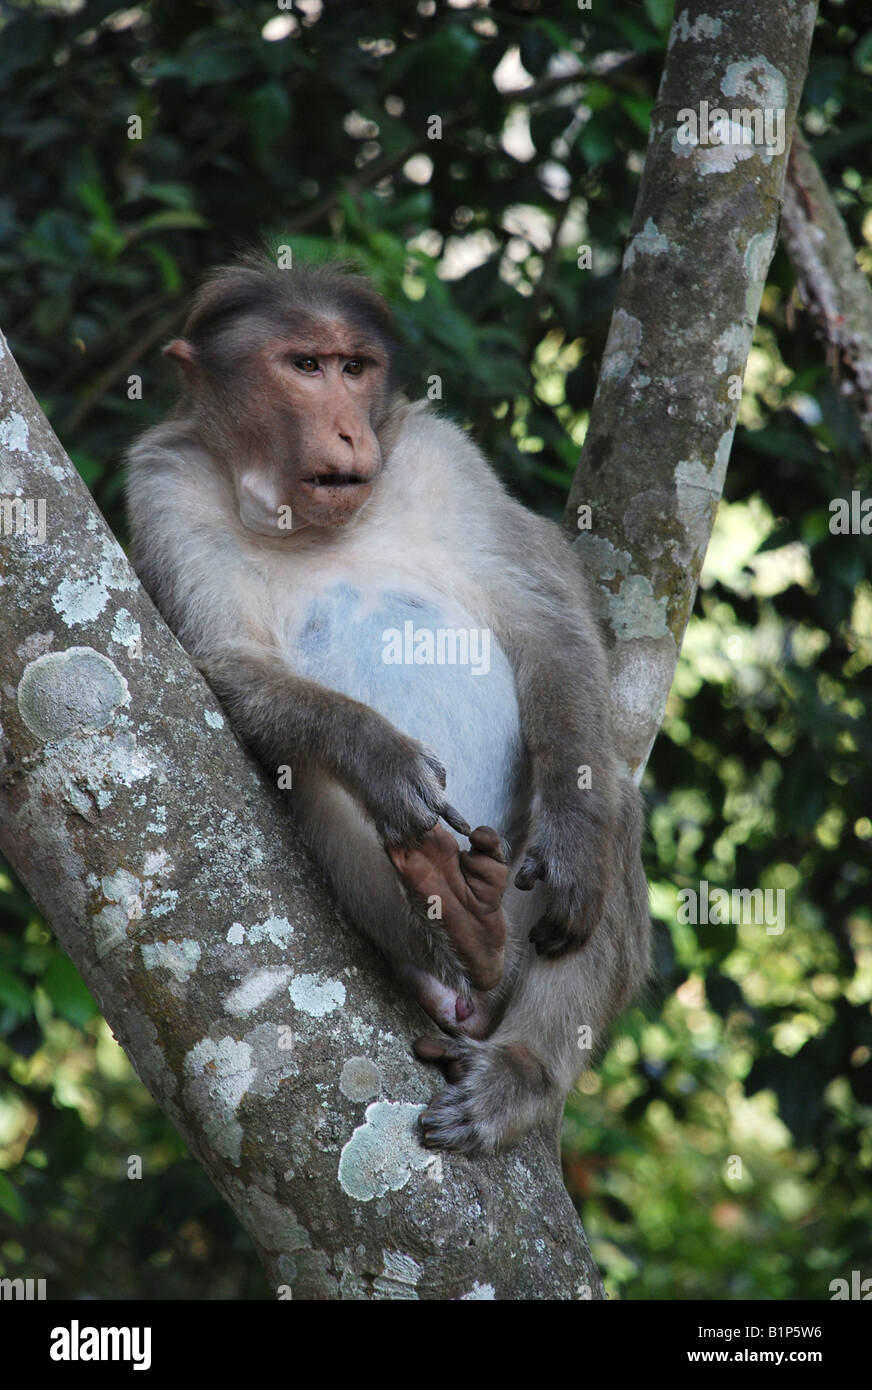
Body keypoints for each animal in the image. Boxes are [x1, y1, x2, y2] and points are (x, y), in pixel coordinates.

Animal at [124, 253, 651, 1156]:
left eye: (354, 368)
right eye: (305, 366)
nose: (348, 431)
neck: (304, 521)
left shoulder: (445, 458)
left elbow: (543, 621)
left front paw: (577, 836)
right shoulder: (163, 488)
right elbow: (226, 659)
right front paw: (382, 756)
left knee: (614, 793)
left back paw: (520, 1068)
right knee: (318, 776)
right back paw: (460, 918)